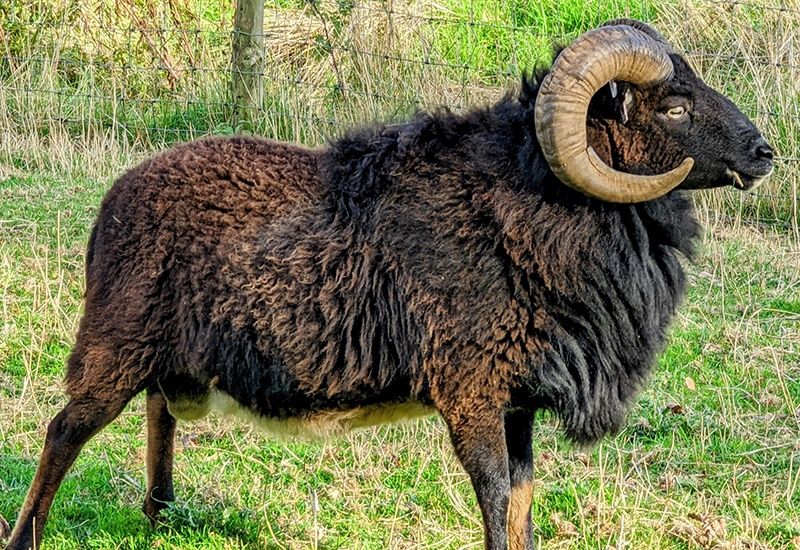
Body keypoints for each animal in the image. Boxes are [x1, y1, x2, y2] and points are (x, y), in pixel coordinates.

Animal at [4, 19, 774, 550]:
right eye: (673, 107)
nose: (765, 152)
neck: (533, 204)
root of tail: (116, 198)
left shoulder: (516, 399)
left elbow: (523, 500)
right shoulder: (470, 388)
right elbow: (496, 495)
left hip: (168, 354)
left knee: (159, 409)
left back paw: (161, 514)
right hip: (115, 340)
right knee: (64, 431)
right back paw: (28, 535)